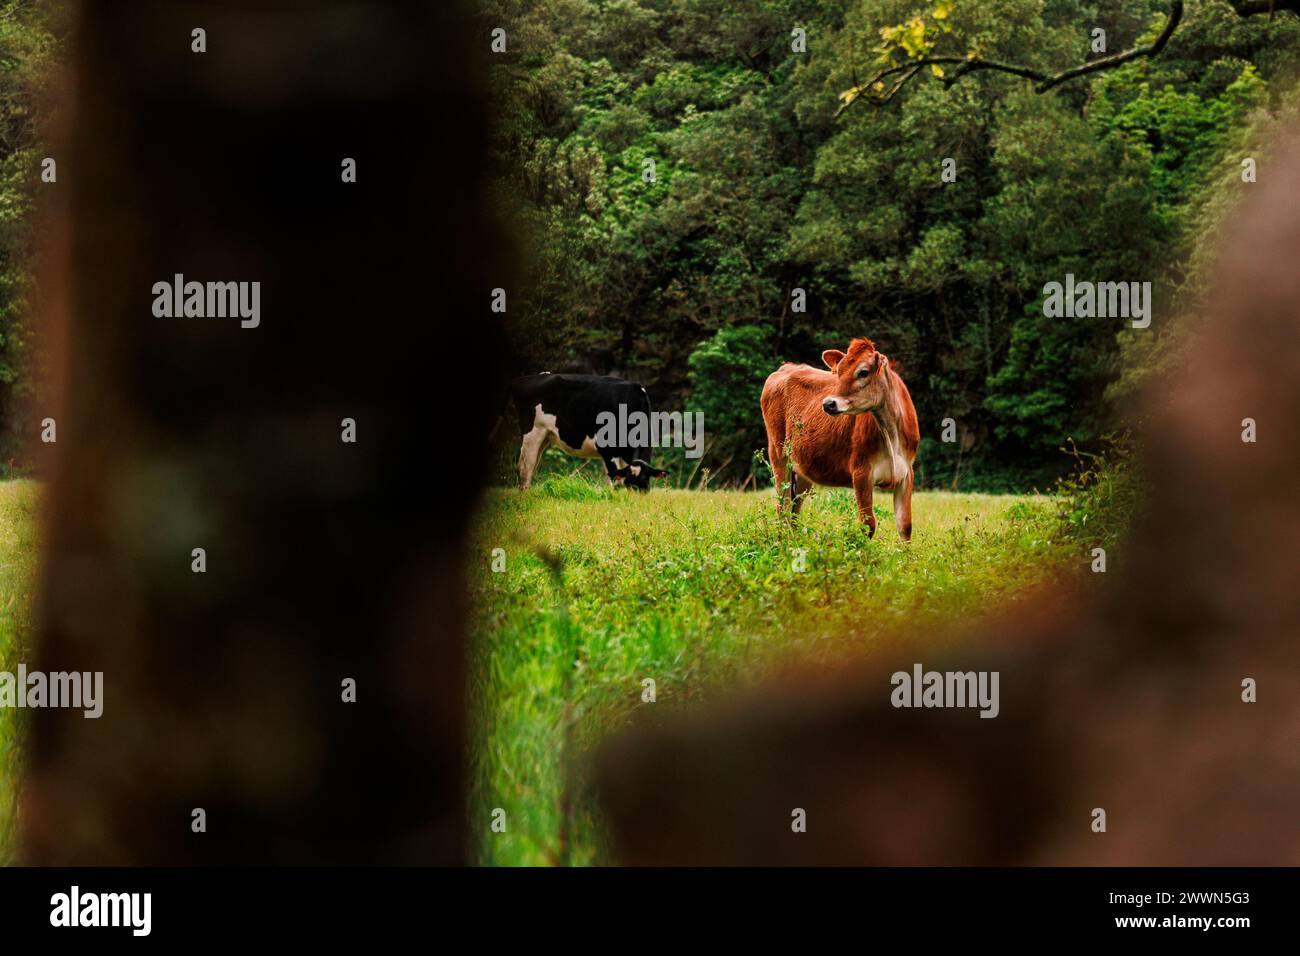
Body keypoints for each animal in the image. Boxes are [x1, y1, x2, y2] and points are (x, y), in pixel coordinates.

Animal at [510, 373, 669, 492]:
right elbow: (615, 483)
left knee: (531, 468)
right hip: (533, 432)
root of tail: (523, 379)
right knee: (525, 468)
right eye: (630, 484)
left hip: (545, 436)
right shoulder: (607, 450)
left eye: (645, 485)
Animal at [760, 338, 920, 539]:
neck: (891, 433)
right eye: (839, 372)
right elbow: (868, 525)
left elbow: (905, 526)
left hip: (802, 469)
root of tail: (786, 367)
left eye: (863, 372)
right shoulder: (861, 472)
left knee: (795, 509)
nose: (828, 403)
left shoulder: (906, 473)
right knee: (784, 508)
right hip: (778, 455)